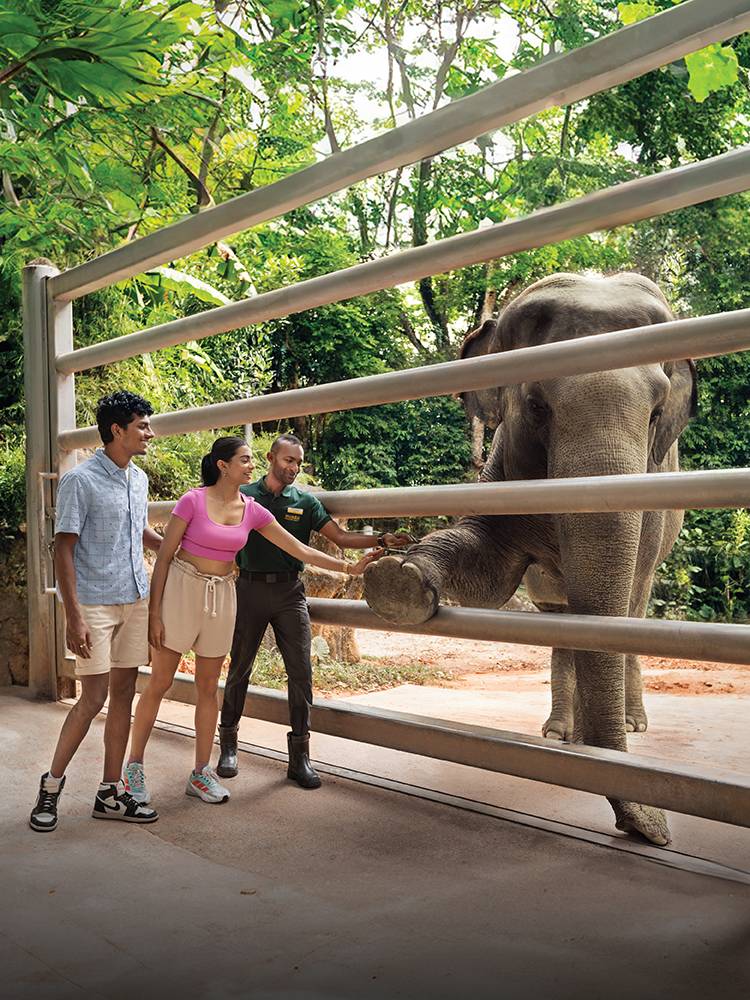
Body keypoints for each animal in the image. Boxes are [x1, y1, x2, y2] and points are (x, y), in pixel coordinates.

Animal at [364, 272, 697, 846]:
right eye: (538, 405)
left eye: (655, 414)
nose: (653, 832)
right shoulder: (503, 469)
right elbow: (490, 573)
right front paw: (397, 580)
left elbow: (621, 592)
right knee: (564, 623)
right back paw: (561, 732)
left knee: (632, 609)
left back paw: (626, 727)